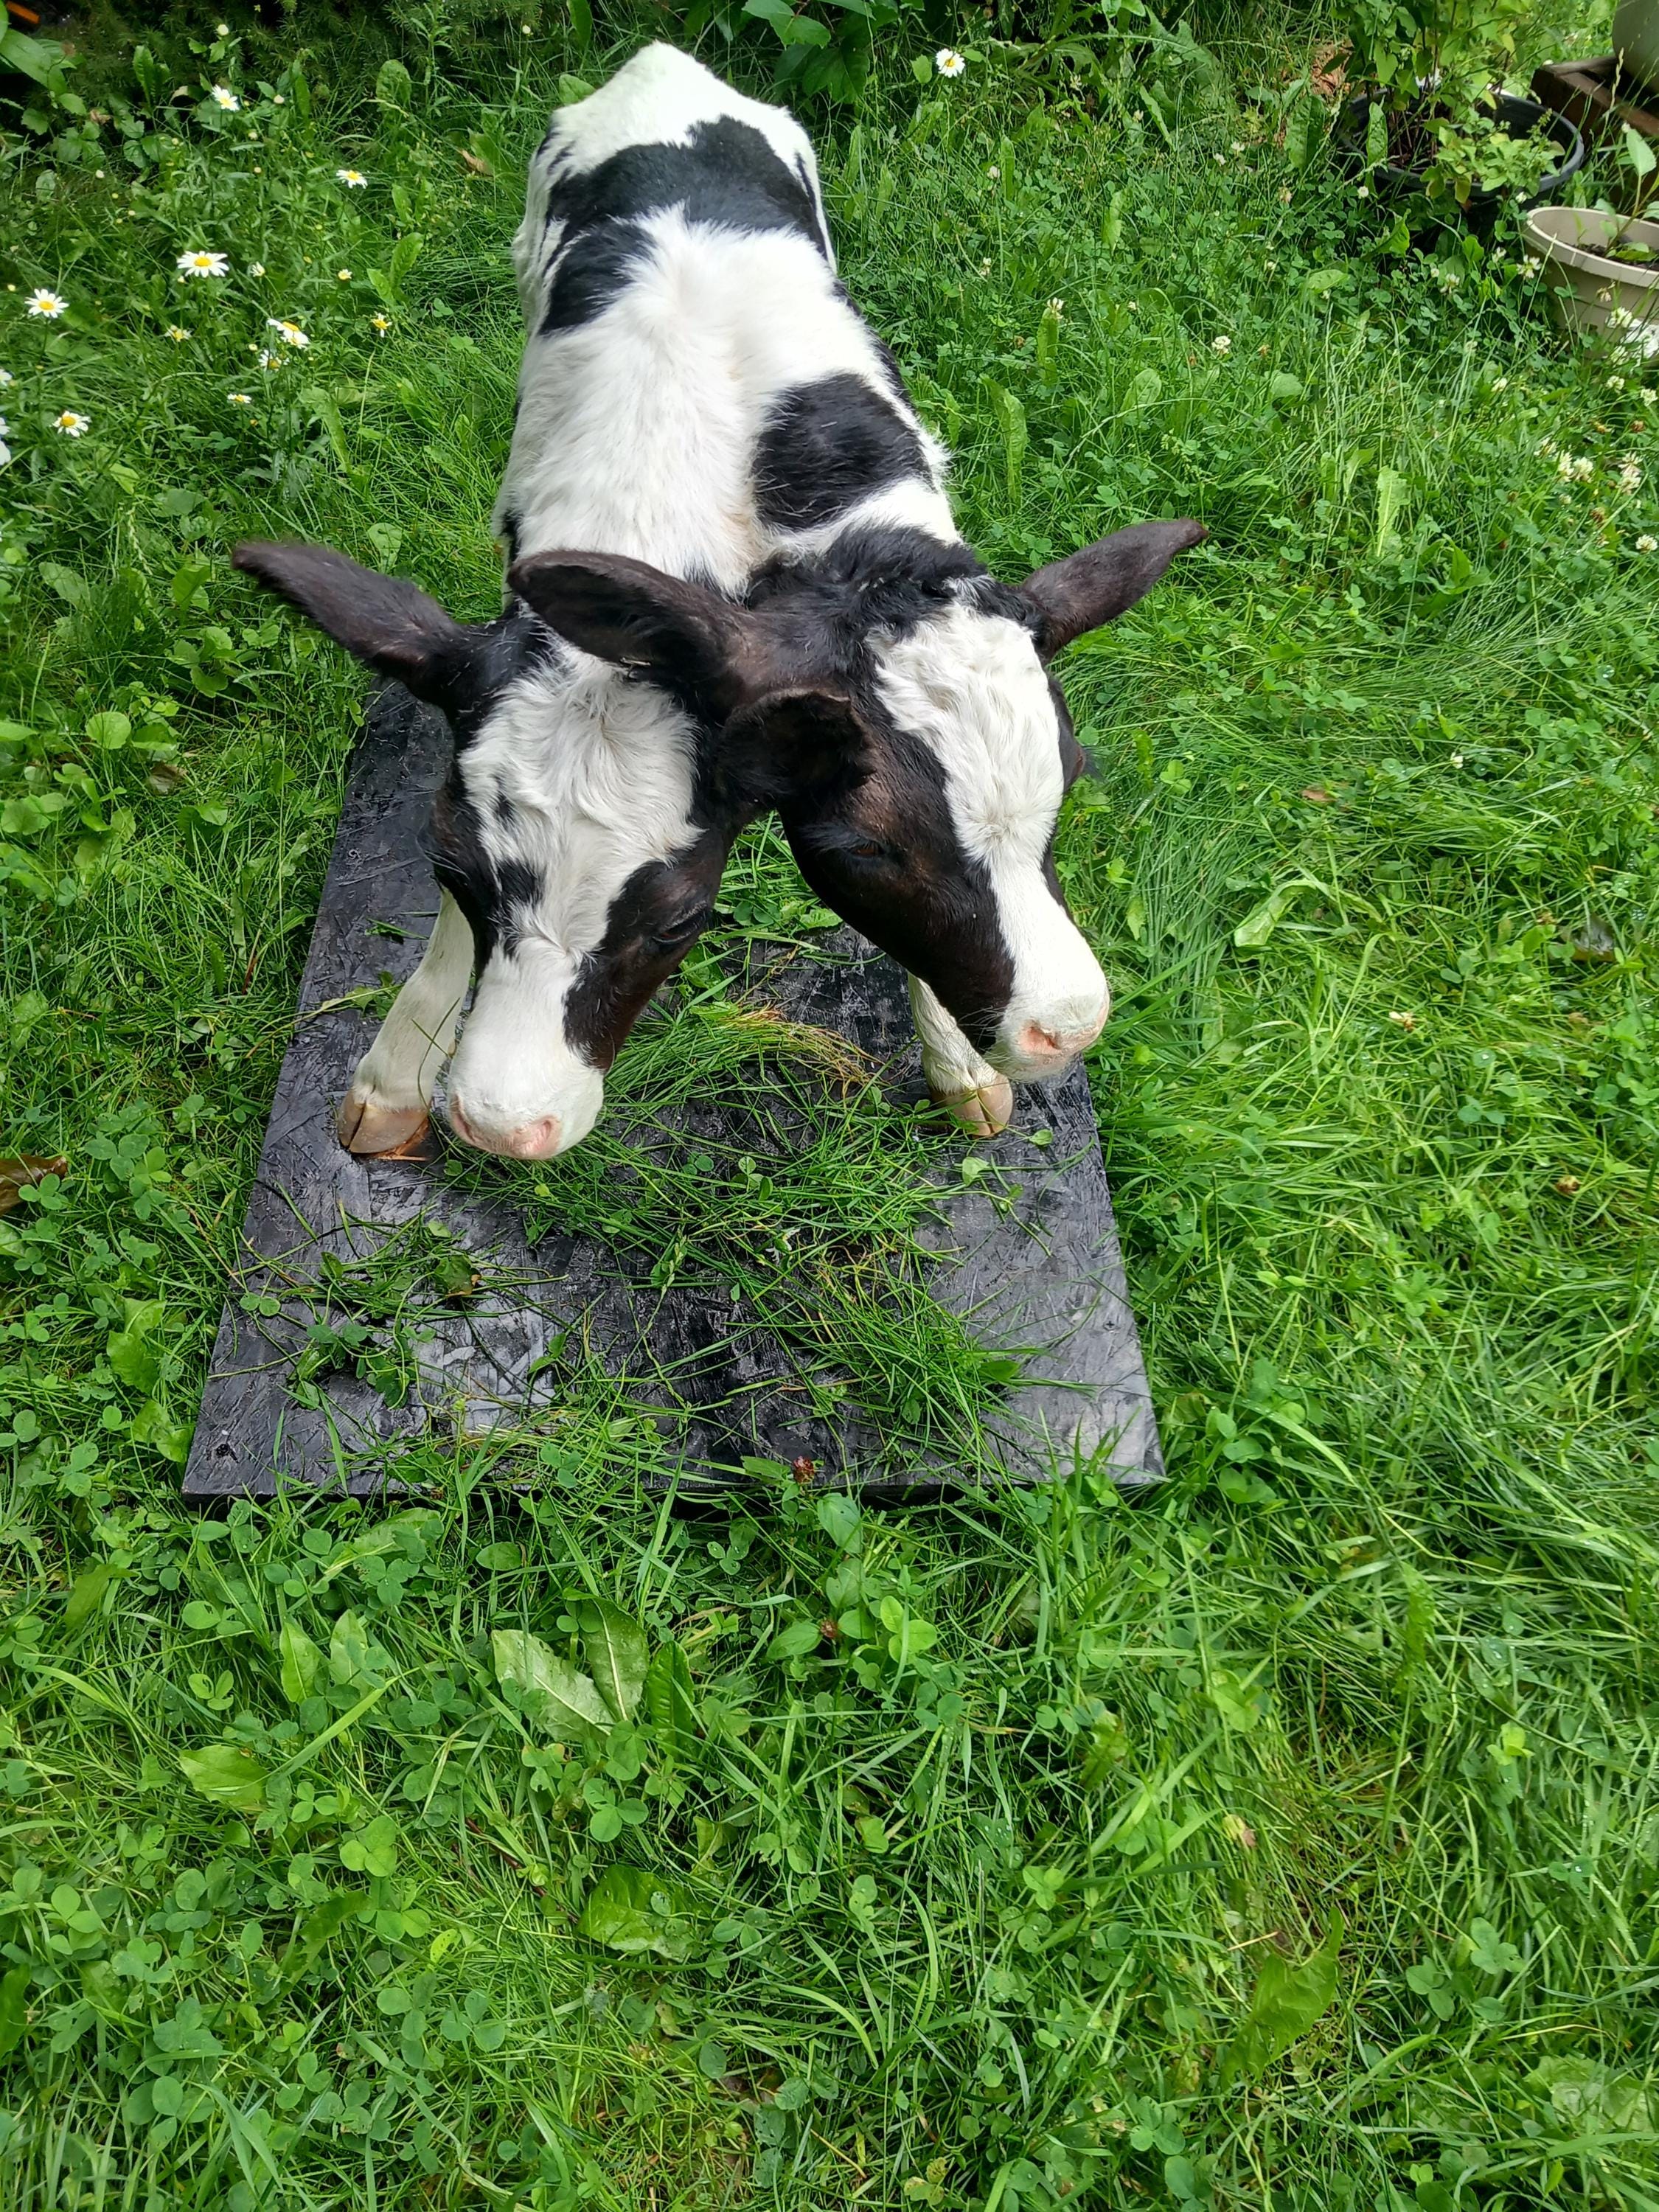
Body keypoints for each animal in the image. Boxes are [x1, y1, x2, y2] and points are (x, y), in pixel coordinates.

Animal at [236, 43, 1201, 1160]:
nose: (1064, 1029)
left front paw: (962, 1068)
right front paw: (394, 1080)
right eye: (868, 847)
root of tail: (664, 64)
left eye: (1068, 787)